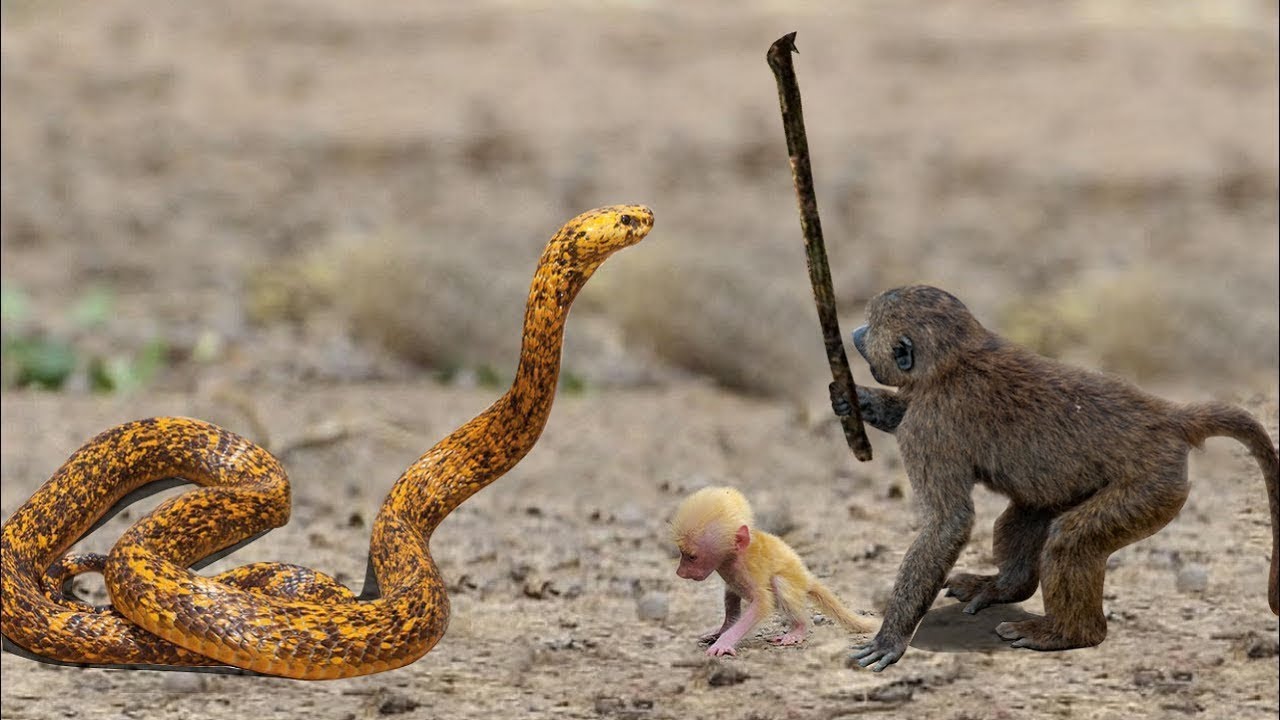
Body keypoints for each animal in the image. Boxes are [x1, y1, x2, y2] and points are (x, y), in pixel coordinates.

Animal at [670, 486, 878, 657]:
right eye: (681, 553)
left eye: (692, 557)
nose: (680, 573)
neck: (733, 557)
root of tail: (806, 577)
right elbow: (733, 597)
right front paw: (722, 633)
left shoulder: (749, 570)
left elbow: (762, 603)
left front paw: (724, 643)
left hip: (791, 582)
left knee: (780, 583)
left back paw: (798, 630)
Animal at [828, 285, 1279, 671]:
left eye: (872, 326)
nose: (855, 333)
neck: (956, 357)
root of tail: (1168, 417)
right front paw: (849, 397)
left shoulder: (929, 427)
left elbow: (948, 523)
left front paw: (891, 639)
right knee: (1021, 518)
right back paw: (1004, 589)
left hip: (1153, 484)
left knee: (1069, 541)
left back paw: (1068, 634)